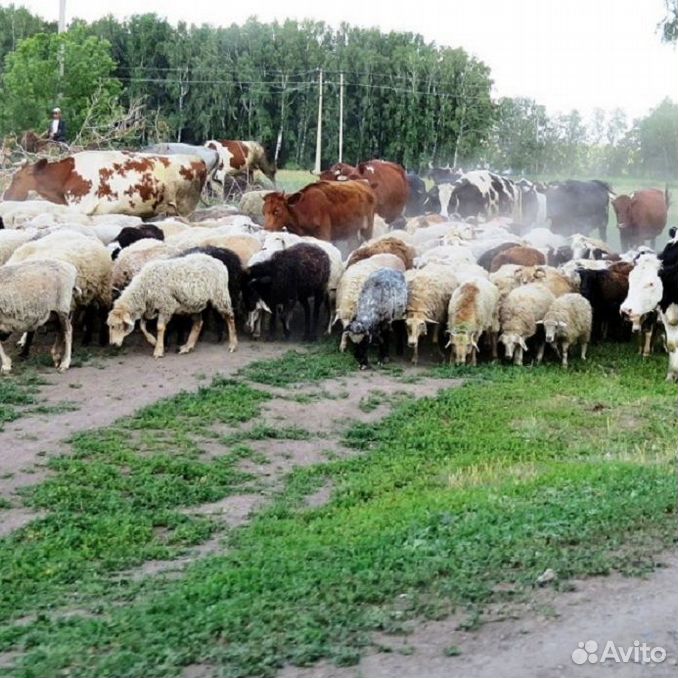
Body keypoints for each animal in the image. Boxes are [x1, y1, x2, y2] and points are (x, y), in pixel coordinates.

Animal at [107, 253, 237, 358]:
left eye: (116, 326)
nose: (112, 344)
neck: (143, 289)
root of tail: (219, 262)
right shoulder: (149, 309)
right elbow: (142, 327)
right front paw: (153, 341)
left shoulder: (166, 306)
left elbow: (159, 327)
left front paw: (158, 350)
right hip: (194, 303)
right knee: (198, 323)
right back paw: (187, 347)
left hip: (220, 295)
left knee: (230, 317)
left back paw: (233, 344)